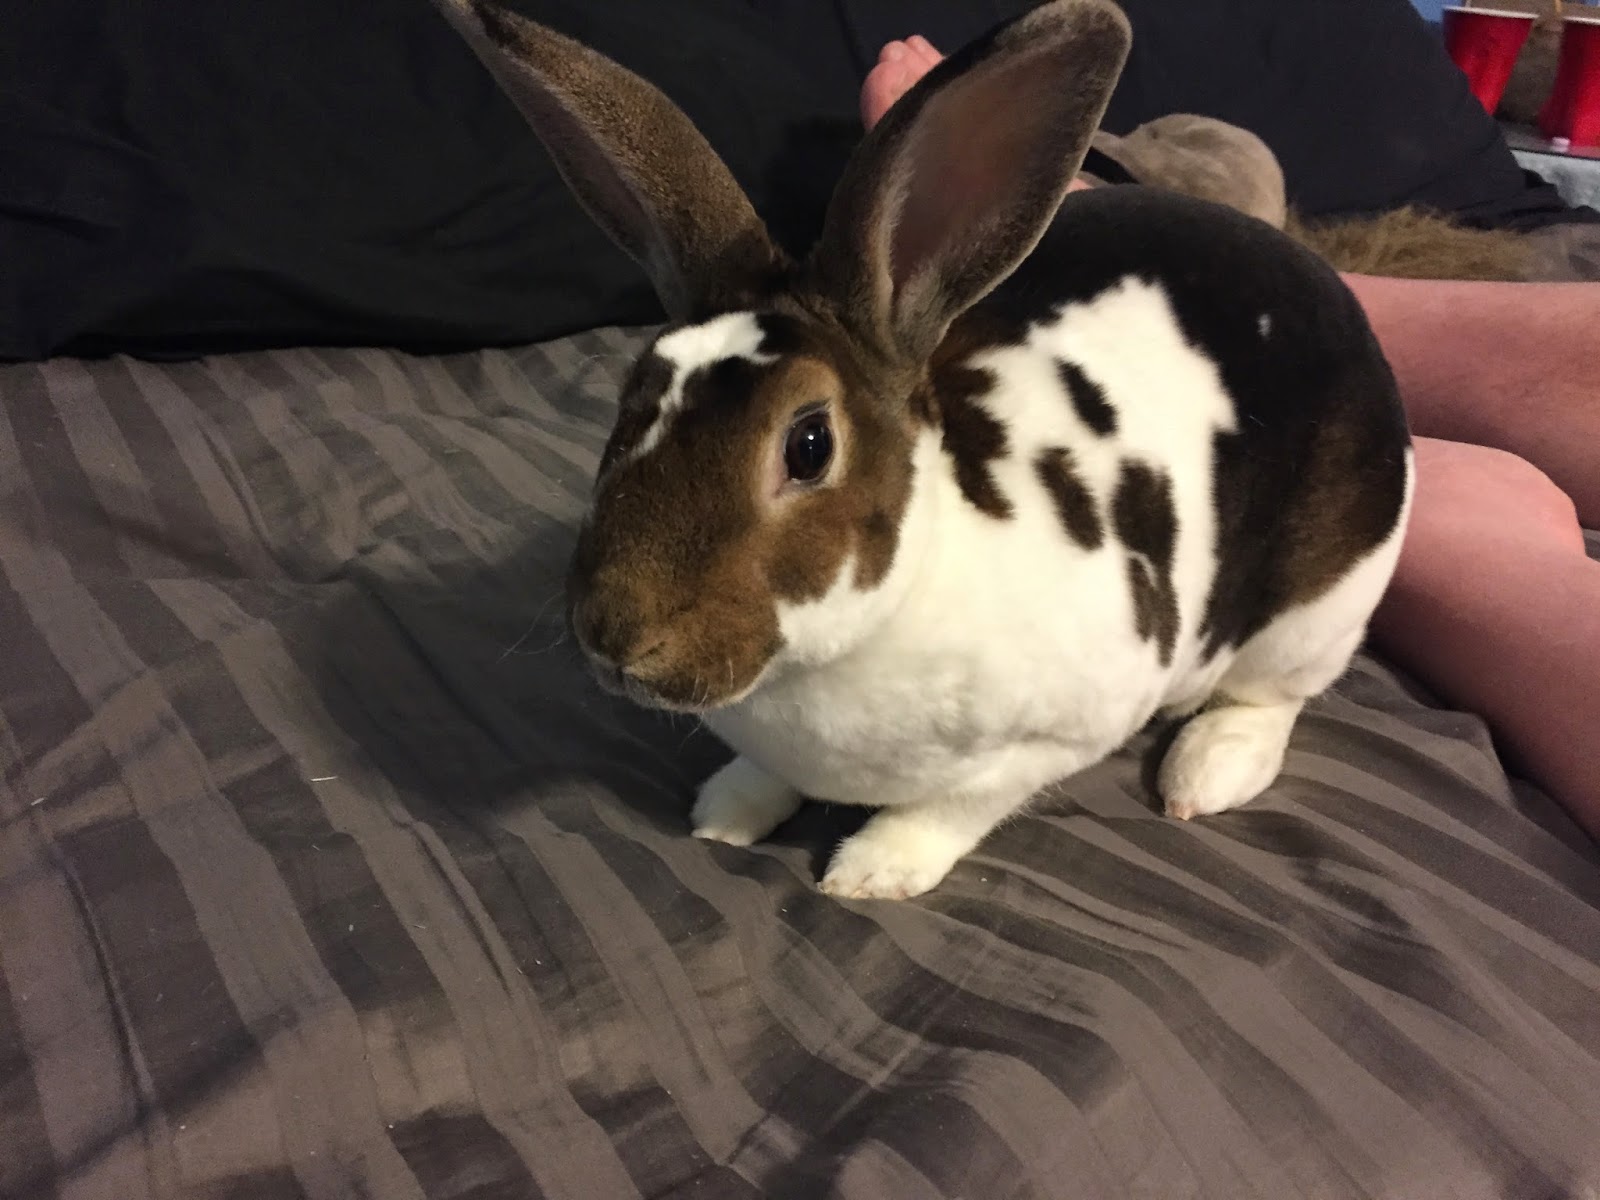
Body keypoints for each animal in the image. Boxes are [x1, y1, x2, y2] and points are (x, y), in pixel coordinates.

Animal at [429, 0, 1415, 900]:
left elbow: (953, 810)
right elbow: (764, 778)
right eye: (633, 393)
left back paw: (1205, 770)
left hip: (1318, 607)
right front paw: (726, 813)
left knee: (1270, 695)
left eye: (809, 444)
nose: (615, 636)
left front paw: (871, 871)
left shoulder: (1056, 738)